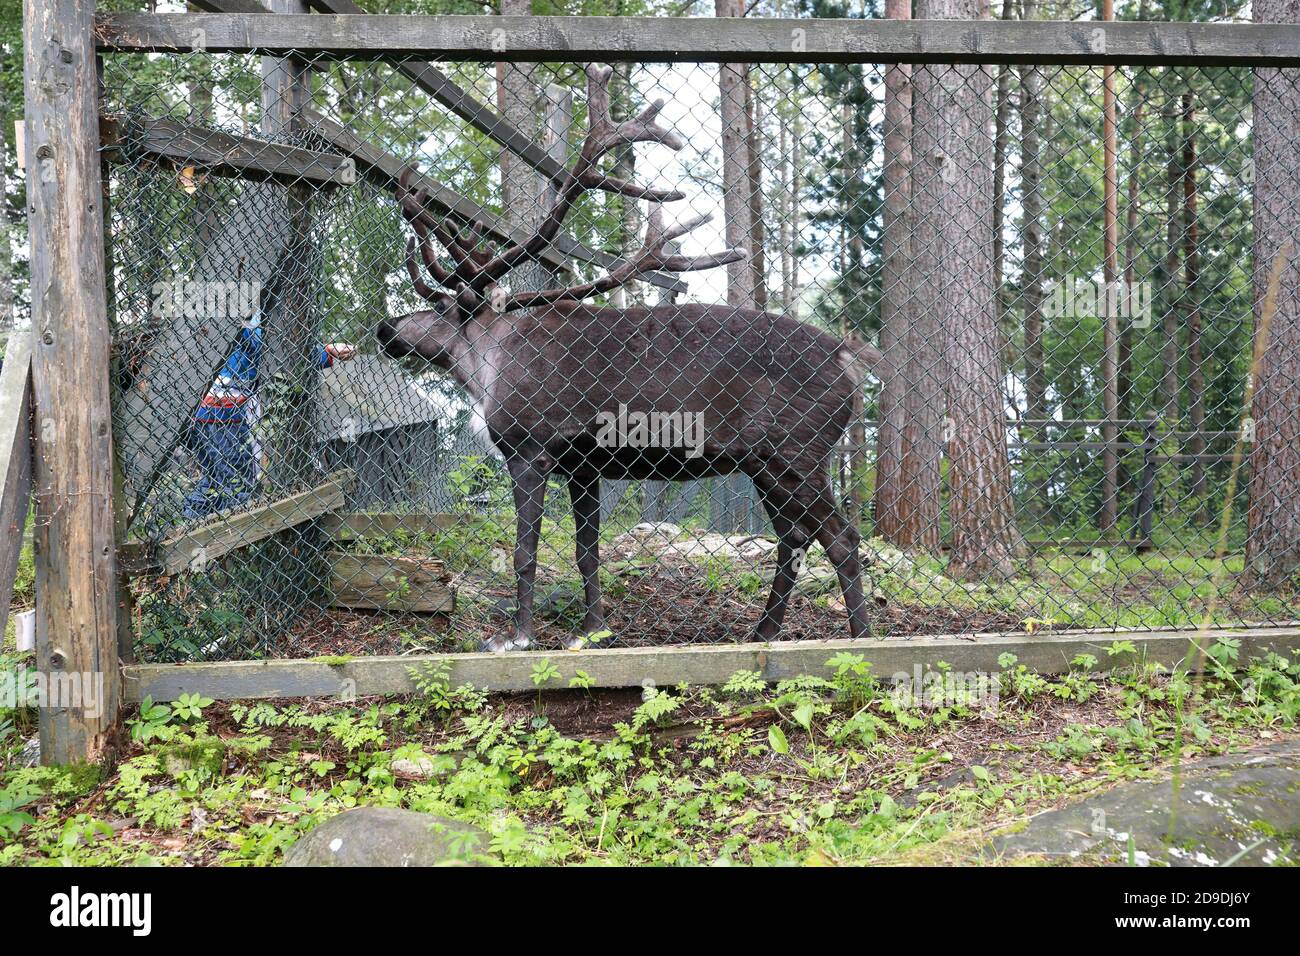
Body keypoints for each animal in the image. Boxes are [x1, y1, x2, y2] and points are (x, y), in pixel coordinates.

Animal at [379, 65, 878, 653]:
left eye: (439, 306)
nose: (386, 328)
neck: (487, 365)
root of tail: (849, 358)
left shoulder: (530, 450)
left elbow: (526, 554)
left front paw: (517, 637)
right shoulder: (584, 467)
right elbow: (585, 553)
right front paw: (593, 629)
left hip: (797, 453)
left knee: (842, 539)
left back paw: (861, 639)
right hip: (767, 464)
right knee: (795, 536)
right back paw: (763, 633)